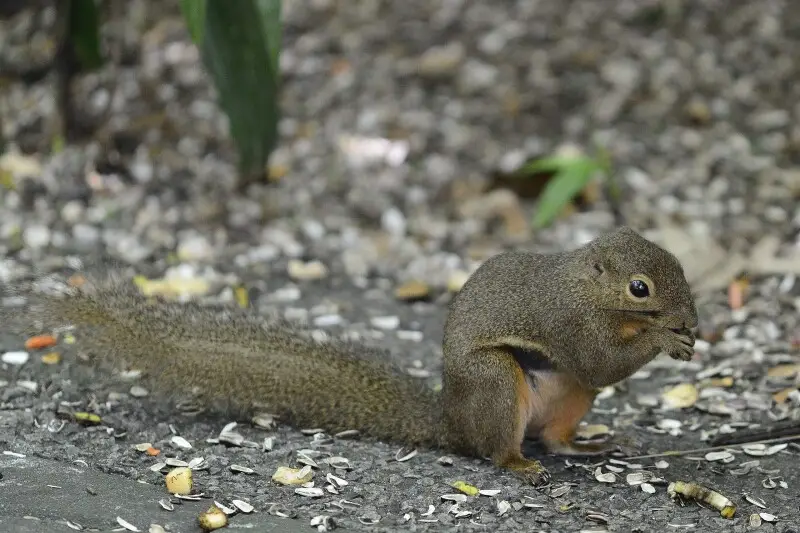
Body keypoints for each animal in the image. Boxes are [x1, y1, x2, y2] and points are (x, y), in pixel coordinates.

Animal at [10, 226, 697, 486]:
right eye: (640, 288)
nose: (691, 318)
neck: (588, 290)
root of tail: (451, 419)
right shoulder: (568, 323)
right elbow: (597, 358)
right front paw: (666, 339)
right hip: (498, 383)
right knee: (497, 448)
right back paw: (517, 462)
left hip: (568, 400)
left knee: (554, 434)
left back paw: (582, 445)